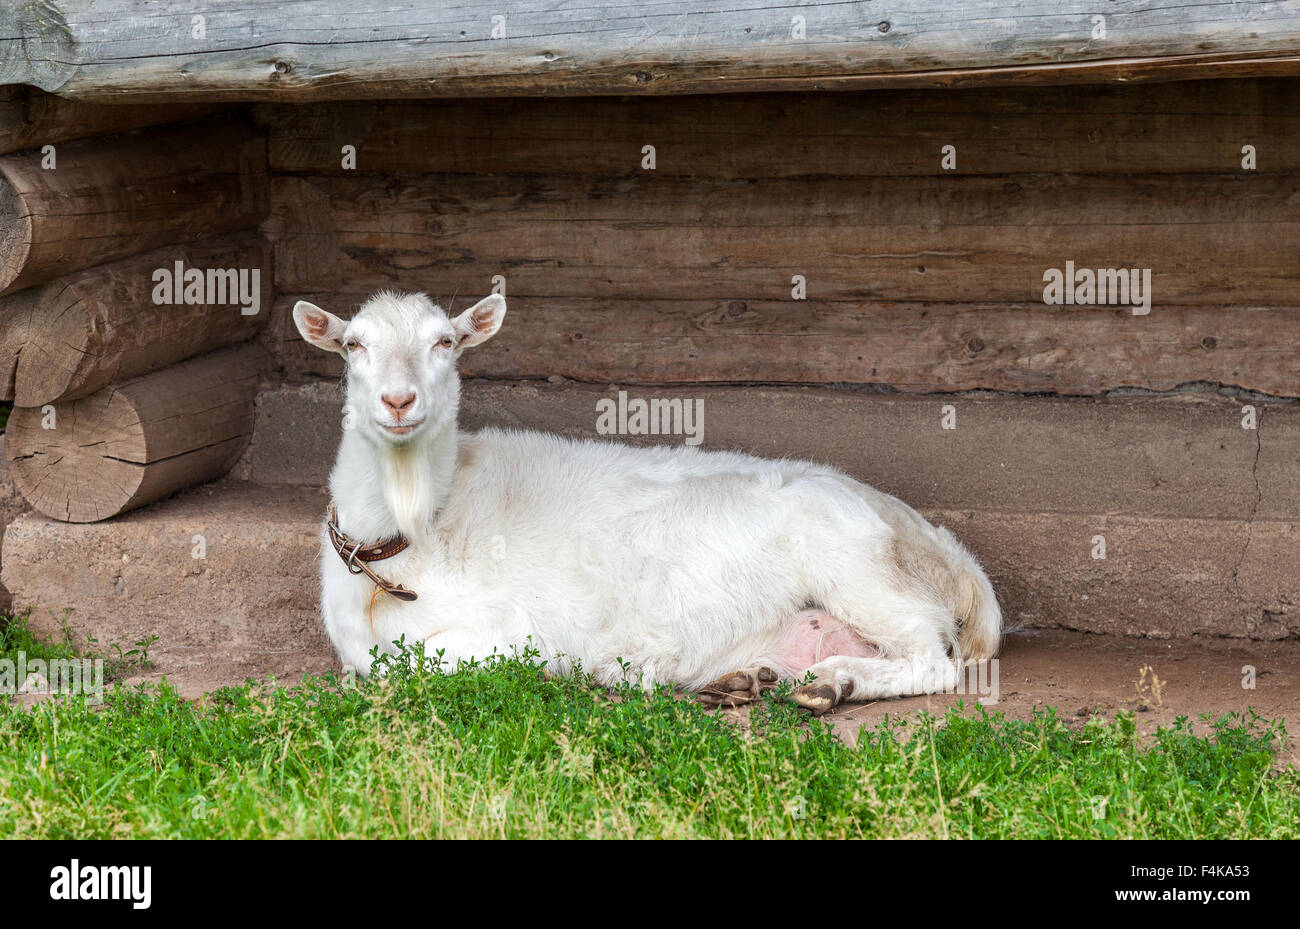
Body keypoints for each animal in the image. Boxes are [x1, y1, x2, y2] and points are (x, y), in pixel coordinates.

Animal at [293, 291, 1002, 713]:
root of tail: (950, 557)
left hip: (860, 567)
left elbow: (415, 669)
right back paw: (754, 679)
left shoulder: (515, 631)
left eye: (446, 342)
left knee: (933, 659)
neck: (412, 534)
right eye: (353, 344)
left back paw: (835, 681)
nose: (398, 401)